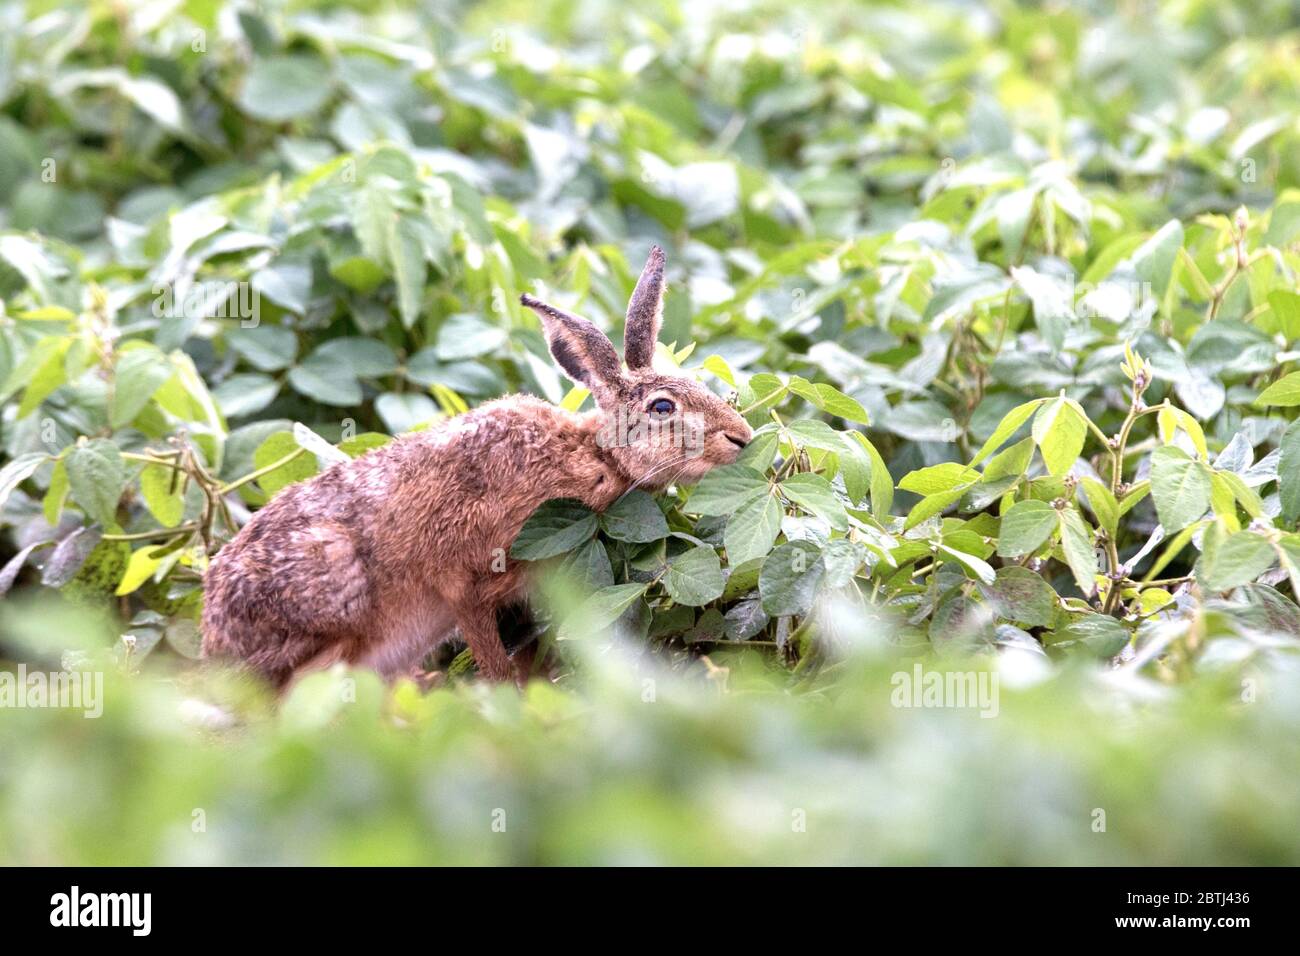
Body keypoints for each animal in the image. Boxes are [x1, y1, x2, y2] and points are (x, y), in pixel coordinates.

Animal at [201, 246, 753, 689]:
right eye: (662, 407)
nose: (742, 438)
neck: (590, 454)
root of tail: (213, 635)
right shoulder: (461, 583)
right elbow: (494, 662)